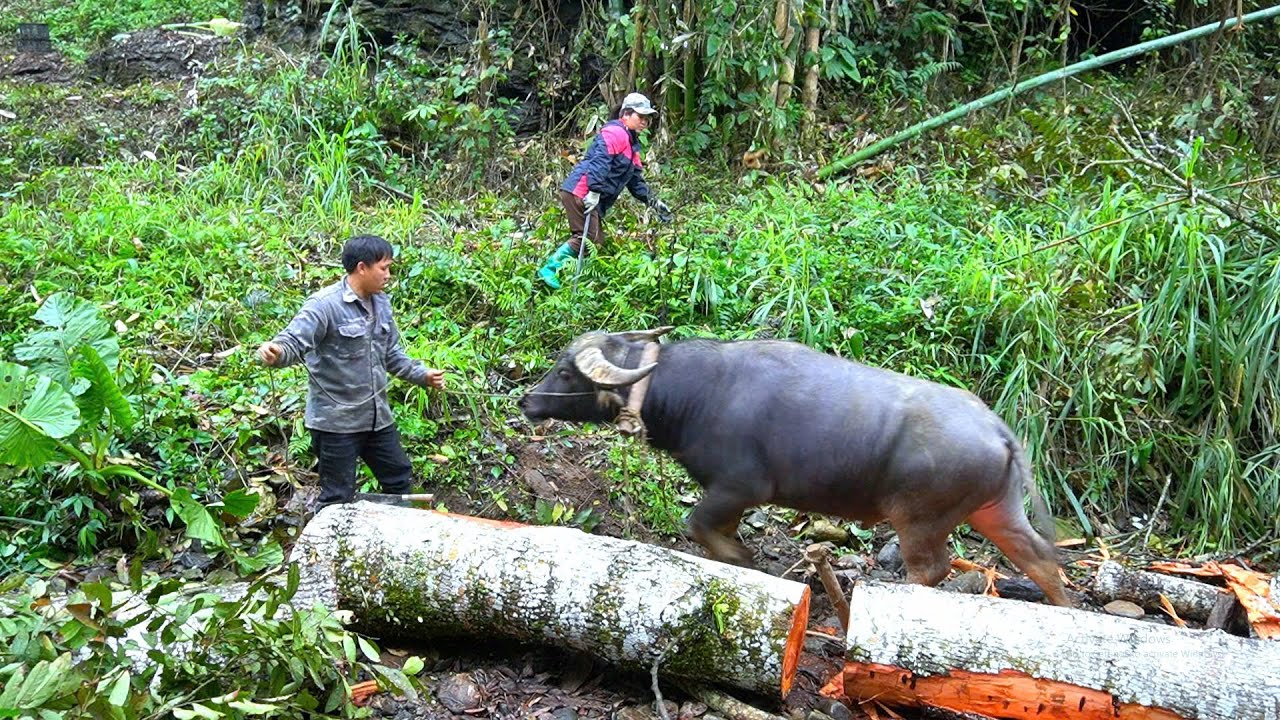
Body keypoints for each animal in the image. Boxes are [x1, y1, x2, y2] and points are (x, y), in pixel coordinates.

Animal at [518, 328, 1070, 606]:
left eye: (565, 371)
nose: (527, 401)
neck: (694, 392)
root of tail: (1000, 431)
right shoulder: (731, 498)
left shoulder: (738, 487)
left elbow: (698, 525)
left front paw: (745, 561)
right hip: (995, 511)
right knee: (1041, 558)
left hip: (921, 520)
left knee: (931, 570)